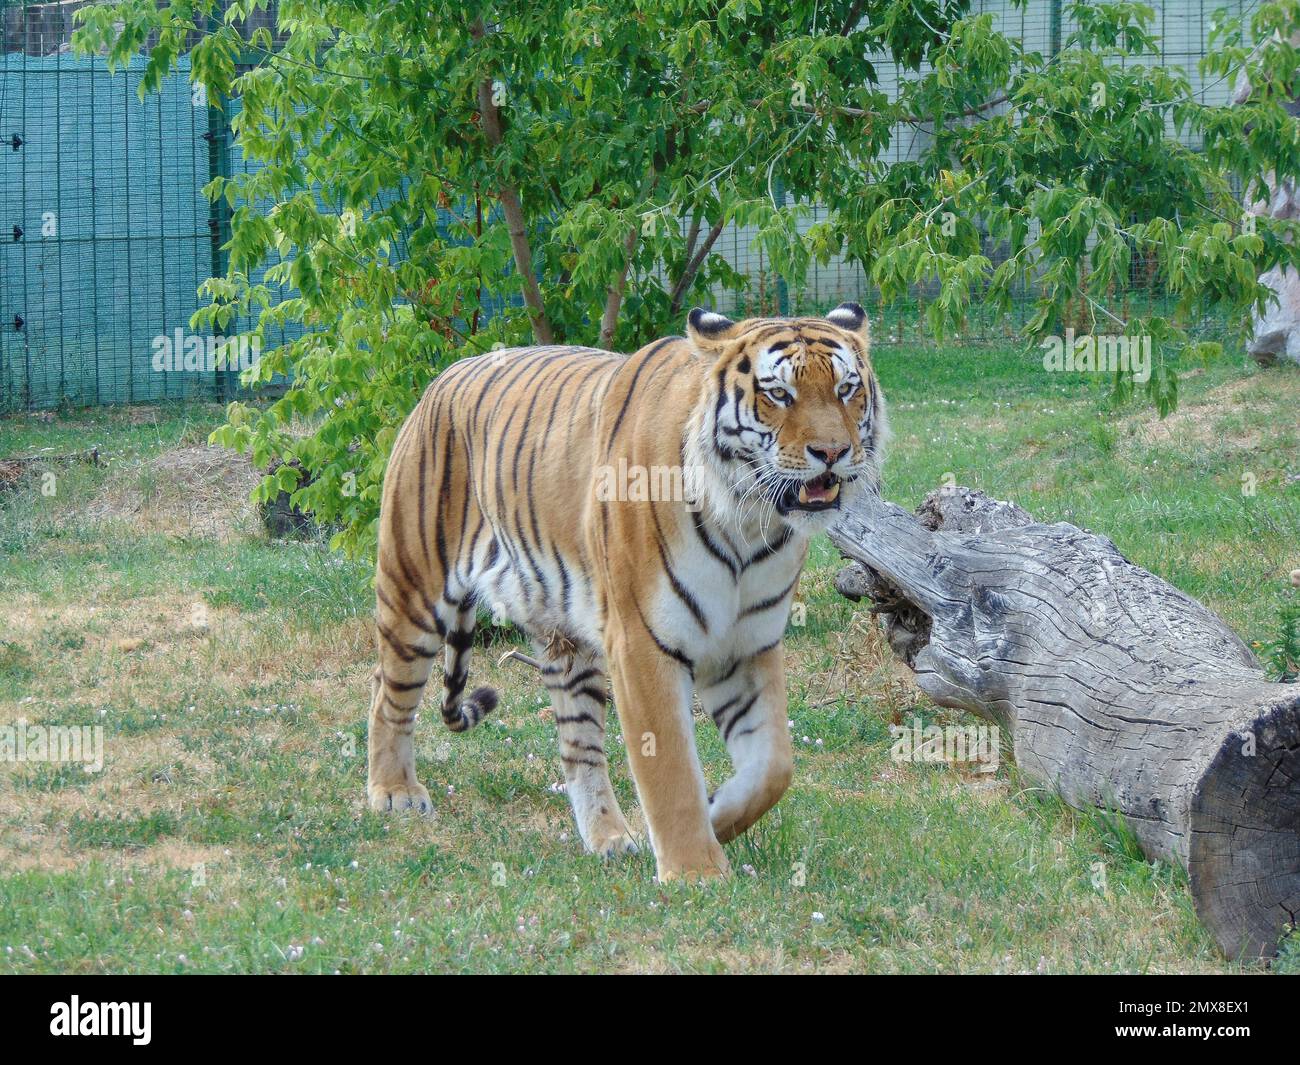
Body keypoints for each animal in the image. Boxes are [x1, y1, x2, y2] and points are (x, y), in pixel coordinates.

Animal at [367, 302, 887, 881]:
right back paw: (394, 793)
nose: (832, 452)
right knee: (387, 692)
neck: (749, 523)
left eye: (846, 389)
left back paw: (610, 838)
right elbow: (671, 771)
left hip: (567, 643)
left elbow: (773, 767)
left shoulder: (747, 644)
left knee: (579, 749)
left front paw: (717, 815)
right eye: (779, 394)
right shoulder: (642, 642)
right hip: (414, 590)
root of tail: (442, 379)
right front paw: (695, 871)